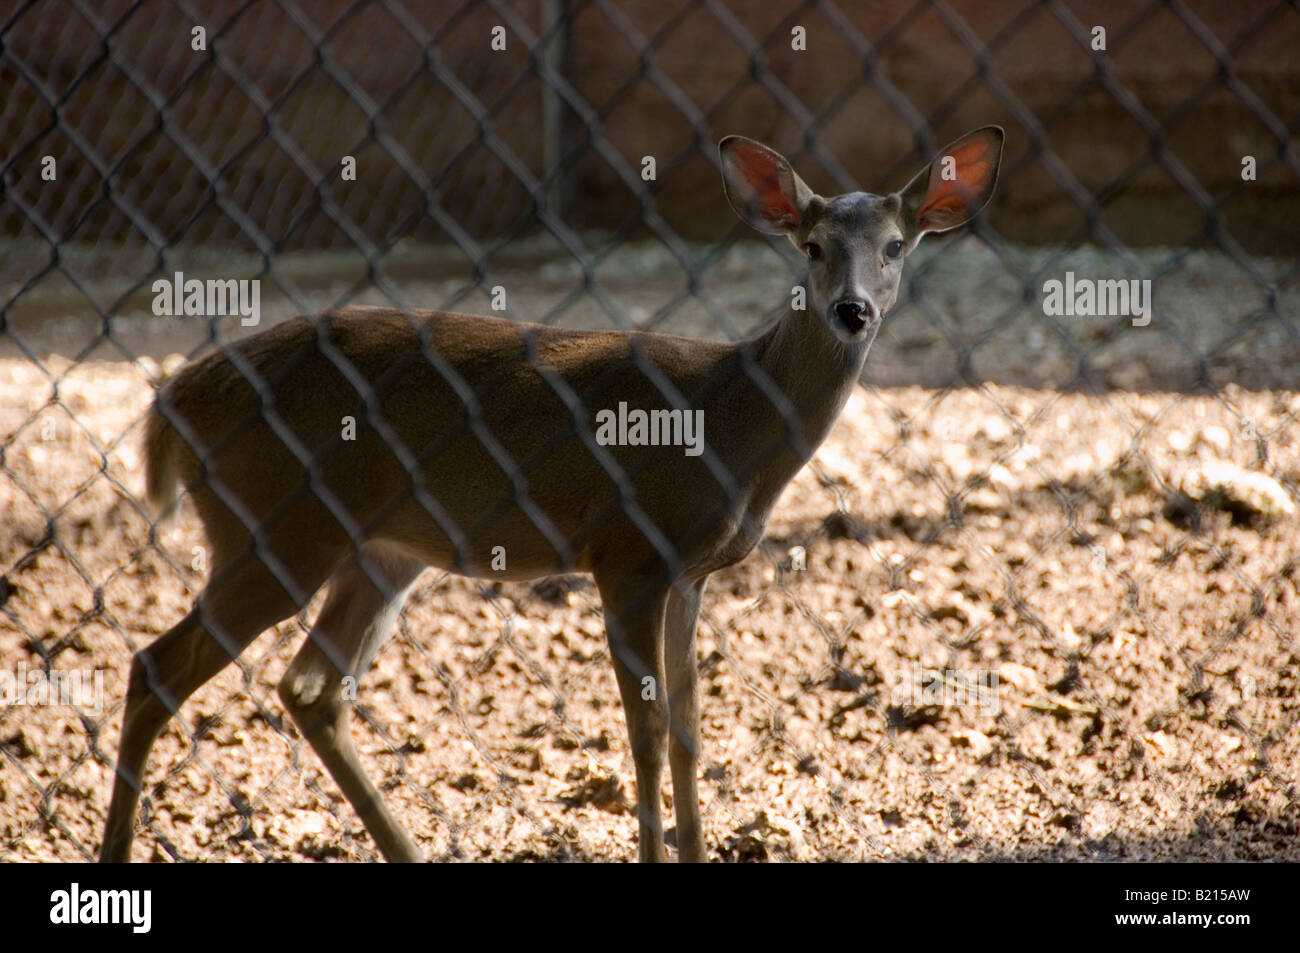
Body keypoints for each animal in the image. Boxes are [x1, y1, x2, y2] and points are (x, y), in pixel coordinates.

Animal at [100, 126, 1003, 863]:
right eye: (811, 245)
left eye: (897, 245)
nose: (852, 310)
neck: (728, 420)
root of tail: (174, 399)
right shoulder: (627, 553)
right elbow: (645, 733)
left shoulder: (691, 573)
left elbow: (688, 731)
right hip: (274, 526)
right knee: (157, 668)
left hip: (379, 550)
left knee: (311, 688)